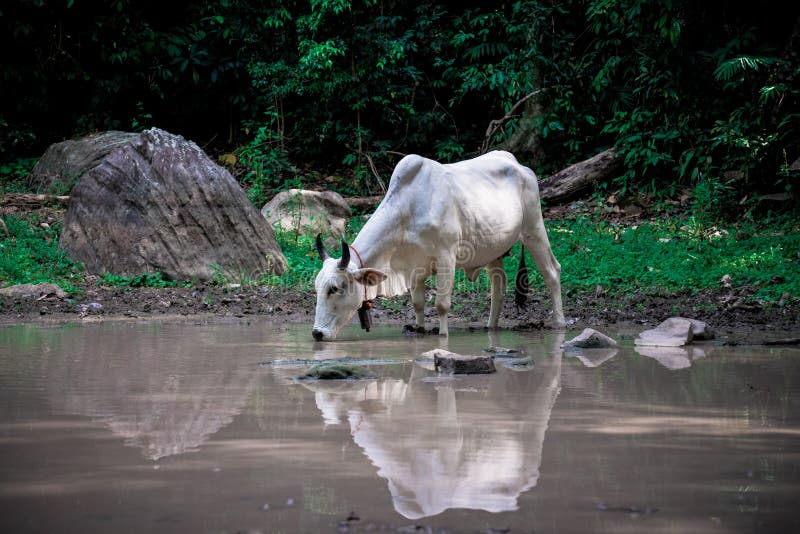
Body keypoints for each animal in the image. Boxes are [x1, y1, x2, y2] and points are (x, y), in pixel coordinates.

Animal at [311, 150, 565, 341]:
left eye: (335, 288)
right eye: (316, 287)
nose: (316, 333)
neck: (407, 211)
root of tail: (519, 165)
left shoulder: (446, 258)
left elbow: (442, 304)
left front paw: (442, 336)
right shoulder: (413, 266)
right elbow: (417, 303)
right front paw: (420, 329)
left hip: (533, 229)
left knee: (552, 271)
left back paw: (559, 322)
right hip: (495, 250)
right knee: (498, 286)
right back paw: (490, 327)